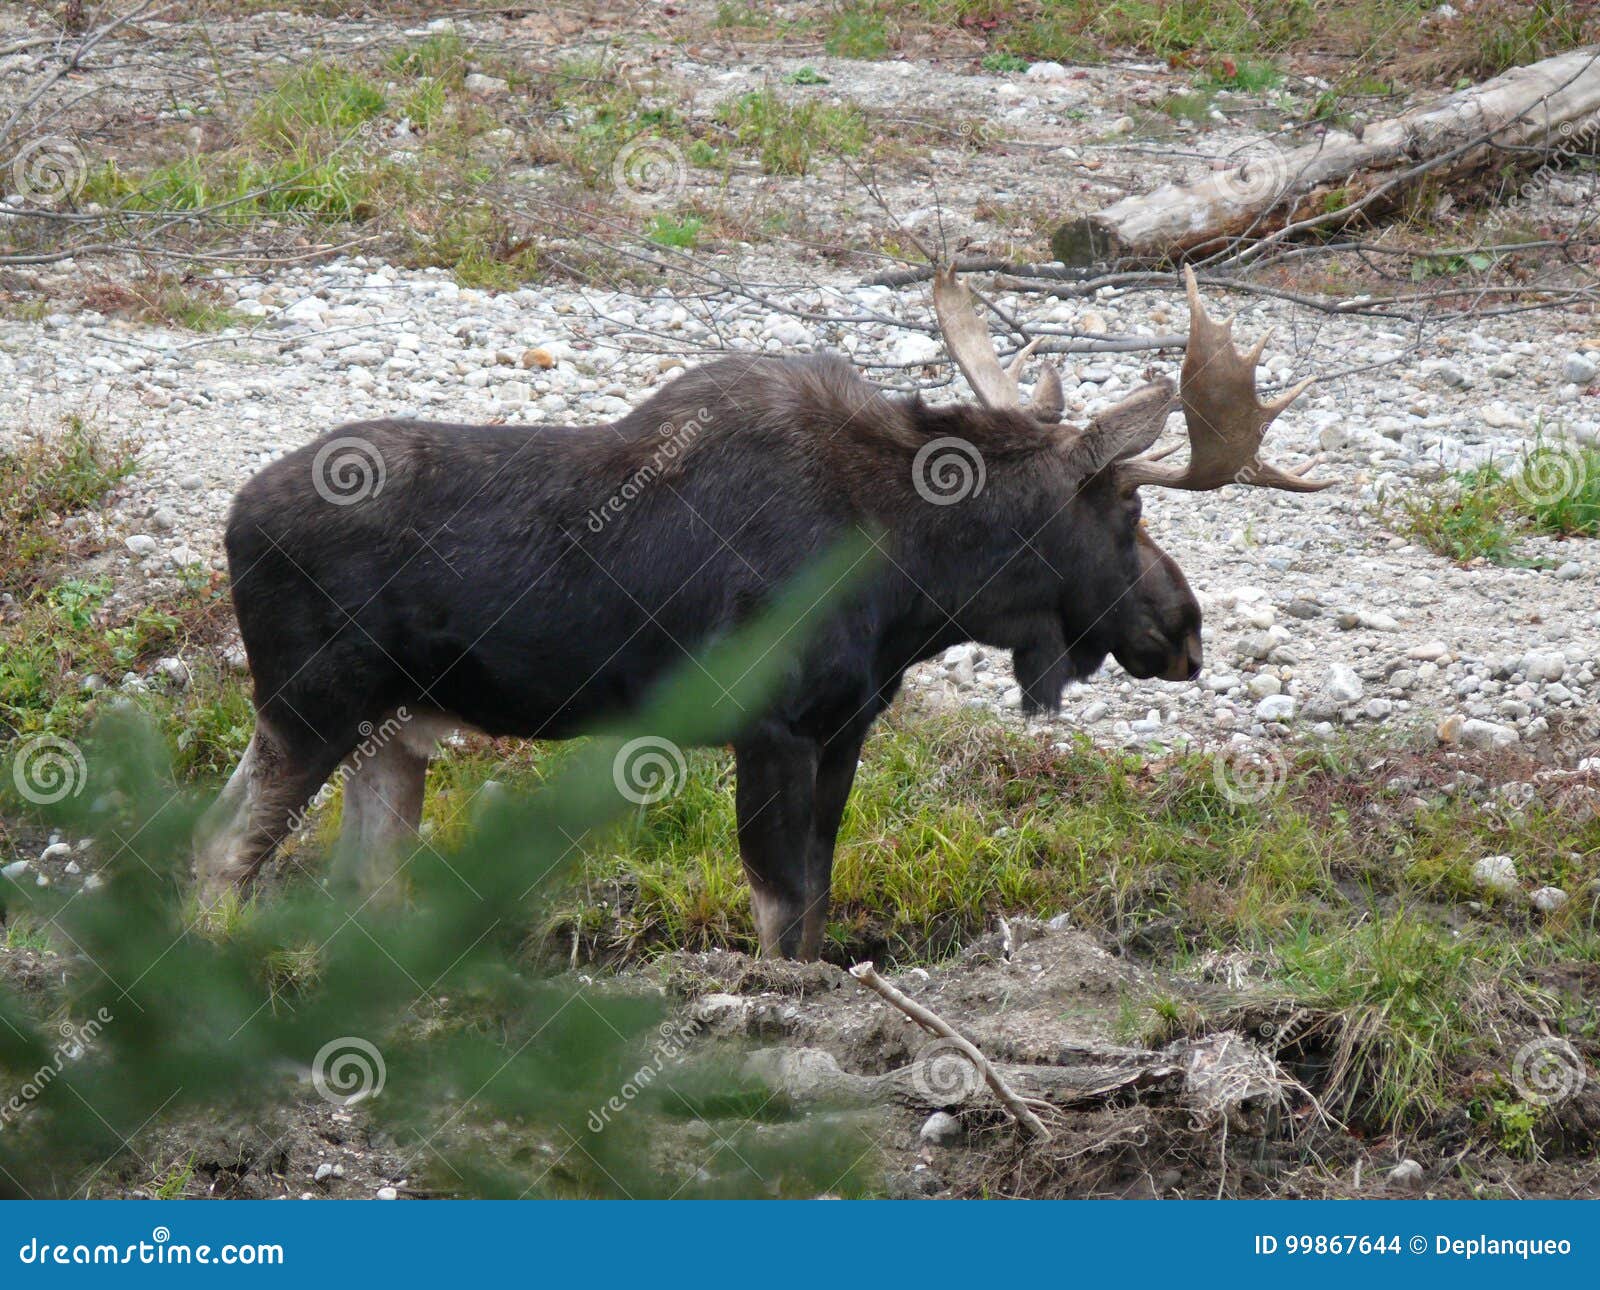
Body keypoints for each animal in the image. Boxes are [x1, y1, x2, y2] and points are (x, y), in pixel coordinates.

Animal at [195, 267, 1330, 960]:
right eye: (1130, 512)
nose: (1185, 630)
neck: (916, 585)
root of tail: (234, 516)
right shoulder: (769, 726)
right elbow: (781, 916)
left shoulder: (843, 728)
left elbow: (818, 906)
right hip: (312, 703)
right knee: (222, 856)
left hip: (385, 727)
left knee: (353, 878)